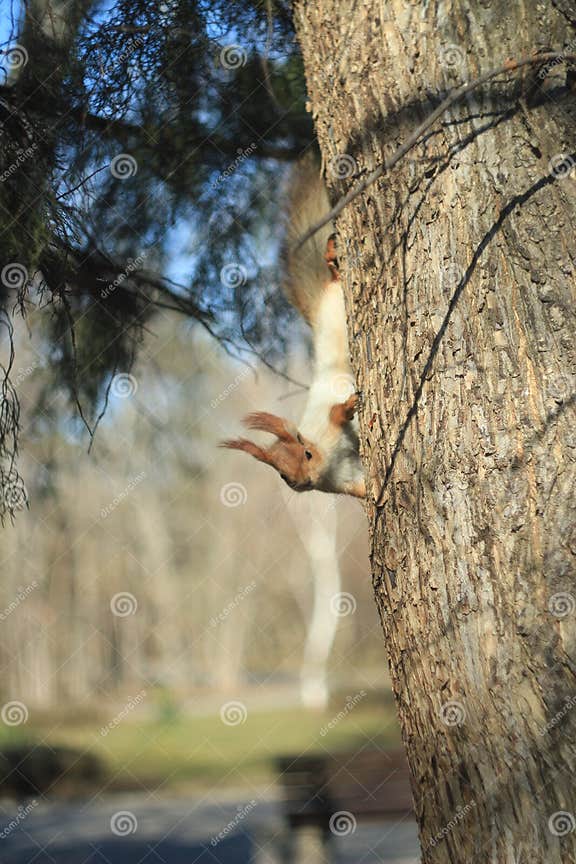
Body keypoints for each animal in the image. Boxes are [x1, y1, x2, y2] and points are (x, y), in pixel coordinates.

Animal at [221, 158, 366, 499]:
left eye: (306, 454)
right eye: (282, 475)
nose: (302, 483)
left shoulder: (327, 426)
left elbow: (335, 415)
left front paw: (348, 406)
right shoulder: (343, 481)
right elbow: (366, 489)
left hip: (335, 304)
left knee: (334, 276)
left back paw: (332, 254)